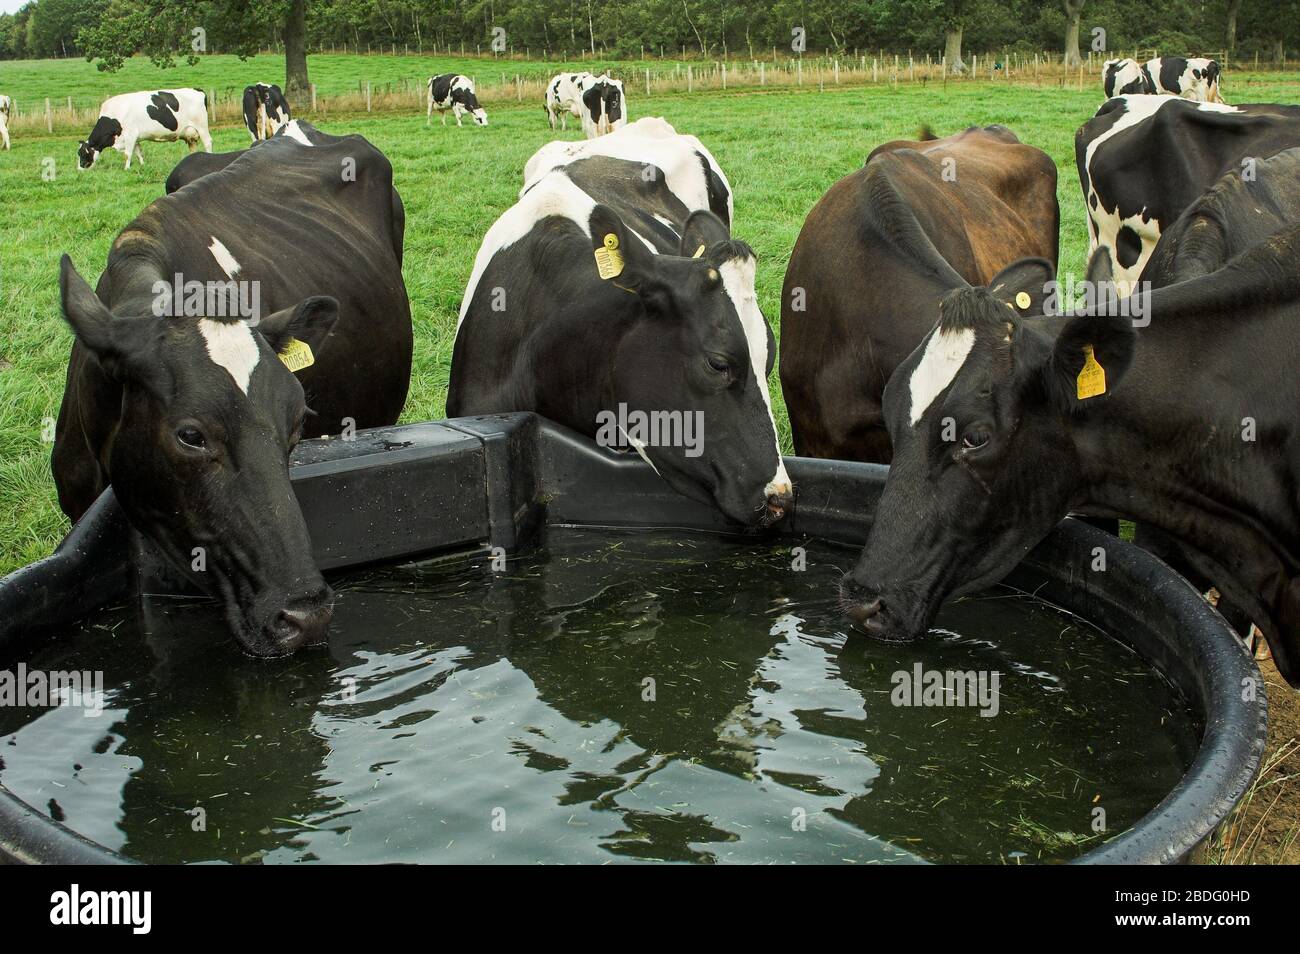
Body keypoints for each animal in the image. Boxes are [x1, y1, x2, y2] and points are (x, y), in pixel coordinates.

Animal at [77, 89, 211, 170]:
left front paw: (126, 169)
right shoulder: (135, 138)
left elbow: (127, 154)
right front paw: (142, 166)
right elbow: (138, 153)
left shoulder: (130, 135)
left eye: (82, 153)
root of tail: (197, 90)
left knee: (208, 142)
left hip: (202, 127)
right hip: (190, 134)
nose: (79, 169)